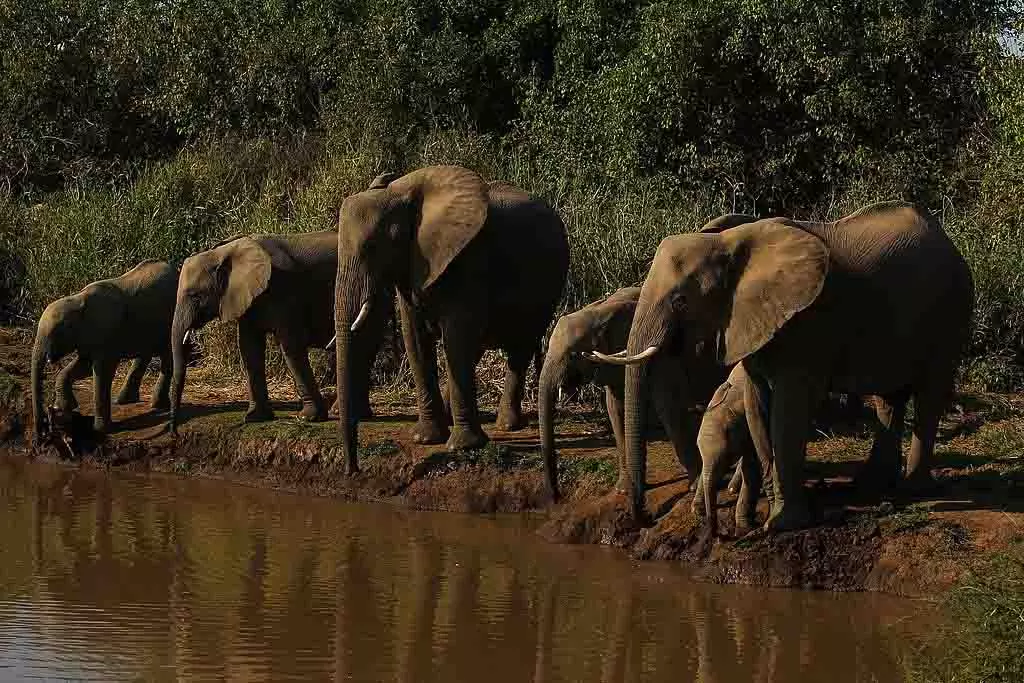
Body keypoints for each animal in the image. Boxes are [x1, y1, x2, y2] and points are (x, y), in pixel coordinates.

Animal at [30, 258, 176, 444]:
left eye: (56, 332)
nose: (42, 436)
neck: (77, 300)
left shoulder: (106, 332)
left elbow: (102, 371)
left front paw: (102, 430)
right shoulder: (88, 337)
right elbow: (83, 367)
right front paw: (66, 406)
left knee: (167, 355)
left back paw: (157, 405)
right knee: (145, 354)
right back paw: (124, 401)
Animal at [169, 229, 389, 432]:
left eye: (195, 295)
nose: (173, 431)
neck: (223, 252)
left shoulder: (283, 290)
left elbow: (290, 344)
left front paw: (307, 418)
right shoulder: (248, 297)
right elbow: (249, 348)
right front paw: (254, 418)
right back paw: (355, 413)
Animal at [333, 165, 569, 475]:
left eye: (372, 247)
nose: (352, 470)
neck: (399, 192)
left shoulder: (468, 259)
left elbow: (456, 338)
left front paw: (463, 446)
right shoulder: (412, 265)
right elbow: (415, 339)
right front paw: (426, 439)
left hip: (546, 290)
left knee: (520, 346)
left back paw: (507, 425)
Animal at [536, 286, 729, 499]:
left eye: (572, 354)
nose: (555, 496)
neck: (598, 311)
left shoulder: (662, 353)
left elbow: (667, 404)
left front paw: (694, 486)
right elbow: (615, 409)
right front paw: (623, 489)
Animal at [589, 200, 970, 532]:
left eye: (680, 300)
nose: (642, 518)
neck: (731, 243)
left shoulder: (807, 322)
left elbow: (788, 408)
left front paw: (782, 524)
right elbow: (757, 405)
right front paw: (772, 511)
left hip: (950, 313)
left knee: (930, 393)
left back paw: (913, 490)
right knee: (889, 398)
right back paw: (871, 484)